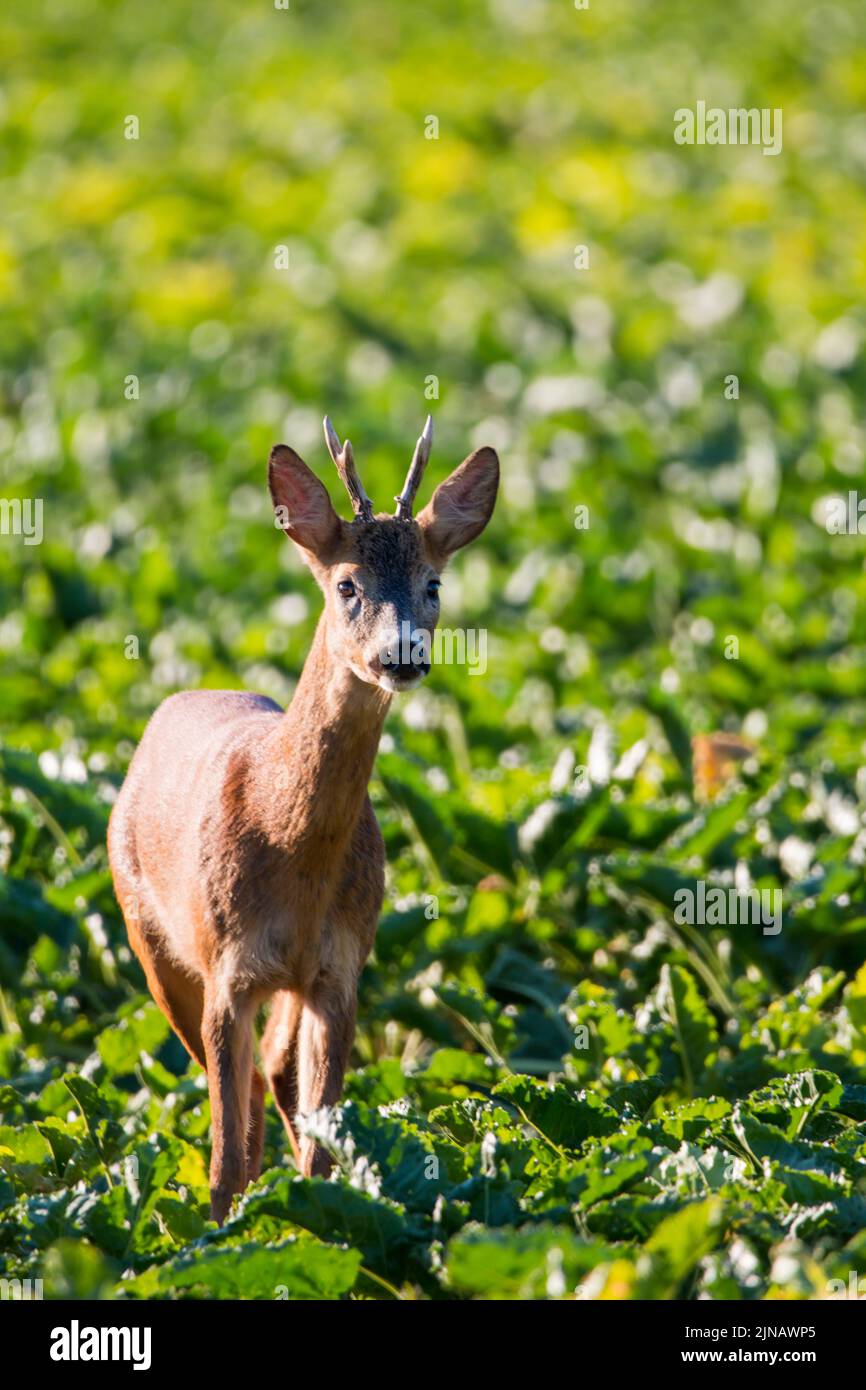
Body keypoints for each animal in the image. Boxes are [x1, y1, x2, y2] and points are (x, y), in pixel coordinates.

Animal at [107, 418, 499, 1223]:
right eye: (347, 585)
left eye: (433, 583)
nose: (402, 654)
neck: (293, 852)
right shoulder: (227, 969)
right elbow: (223, 1153)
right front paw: (223, 1231)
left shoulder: (340, 971)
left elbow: (323, 1137)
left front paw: (314, 1216)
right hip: (148, 935)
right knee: (243, 1087)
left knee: (277, 1077)